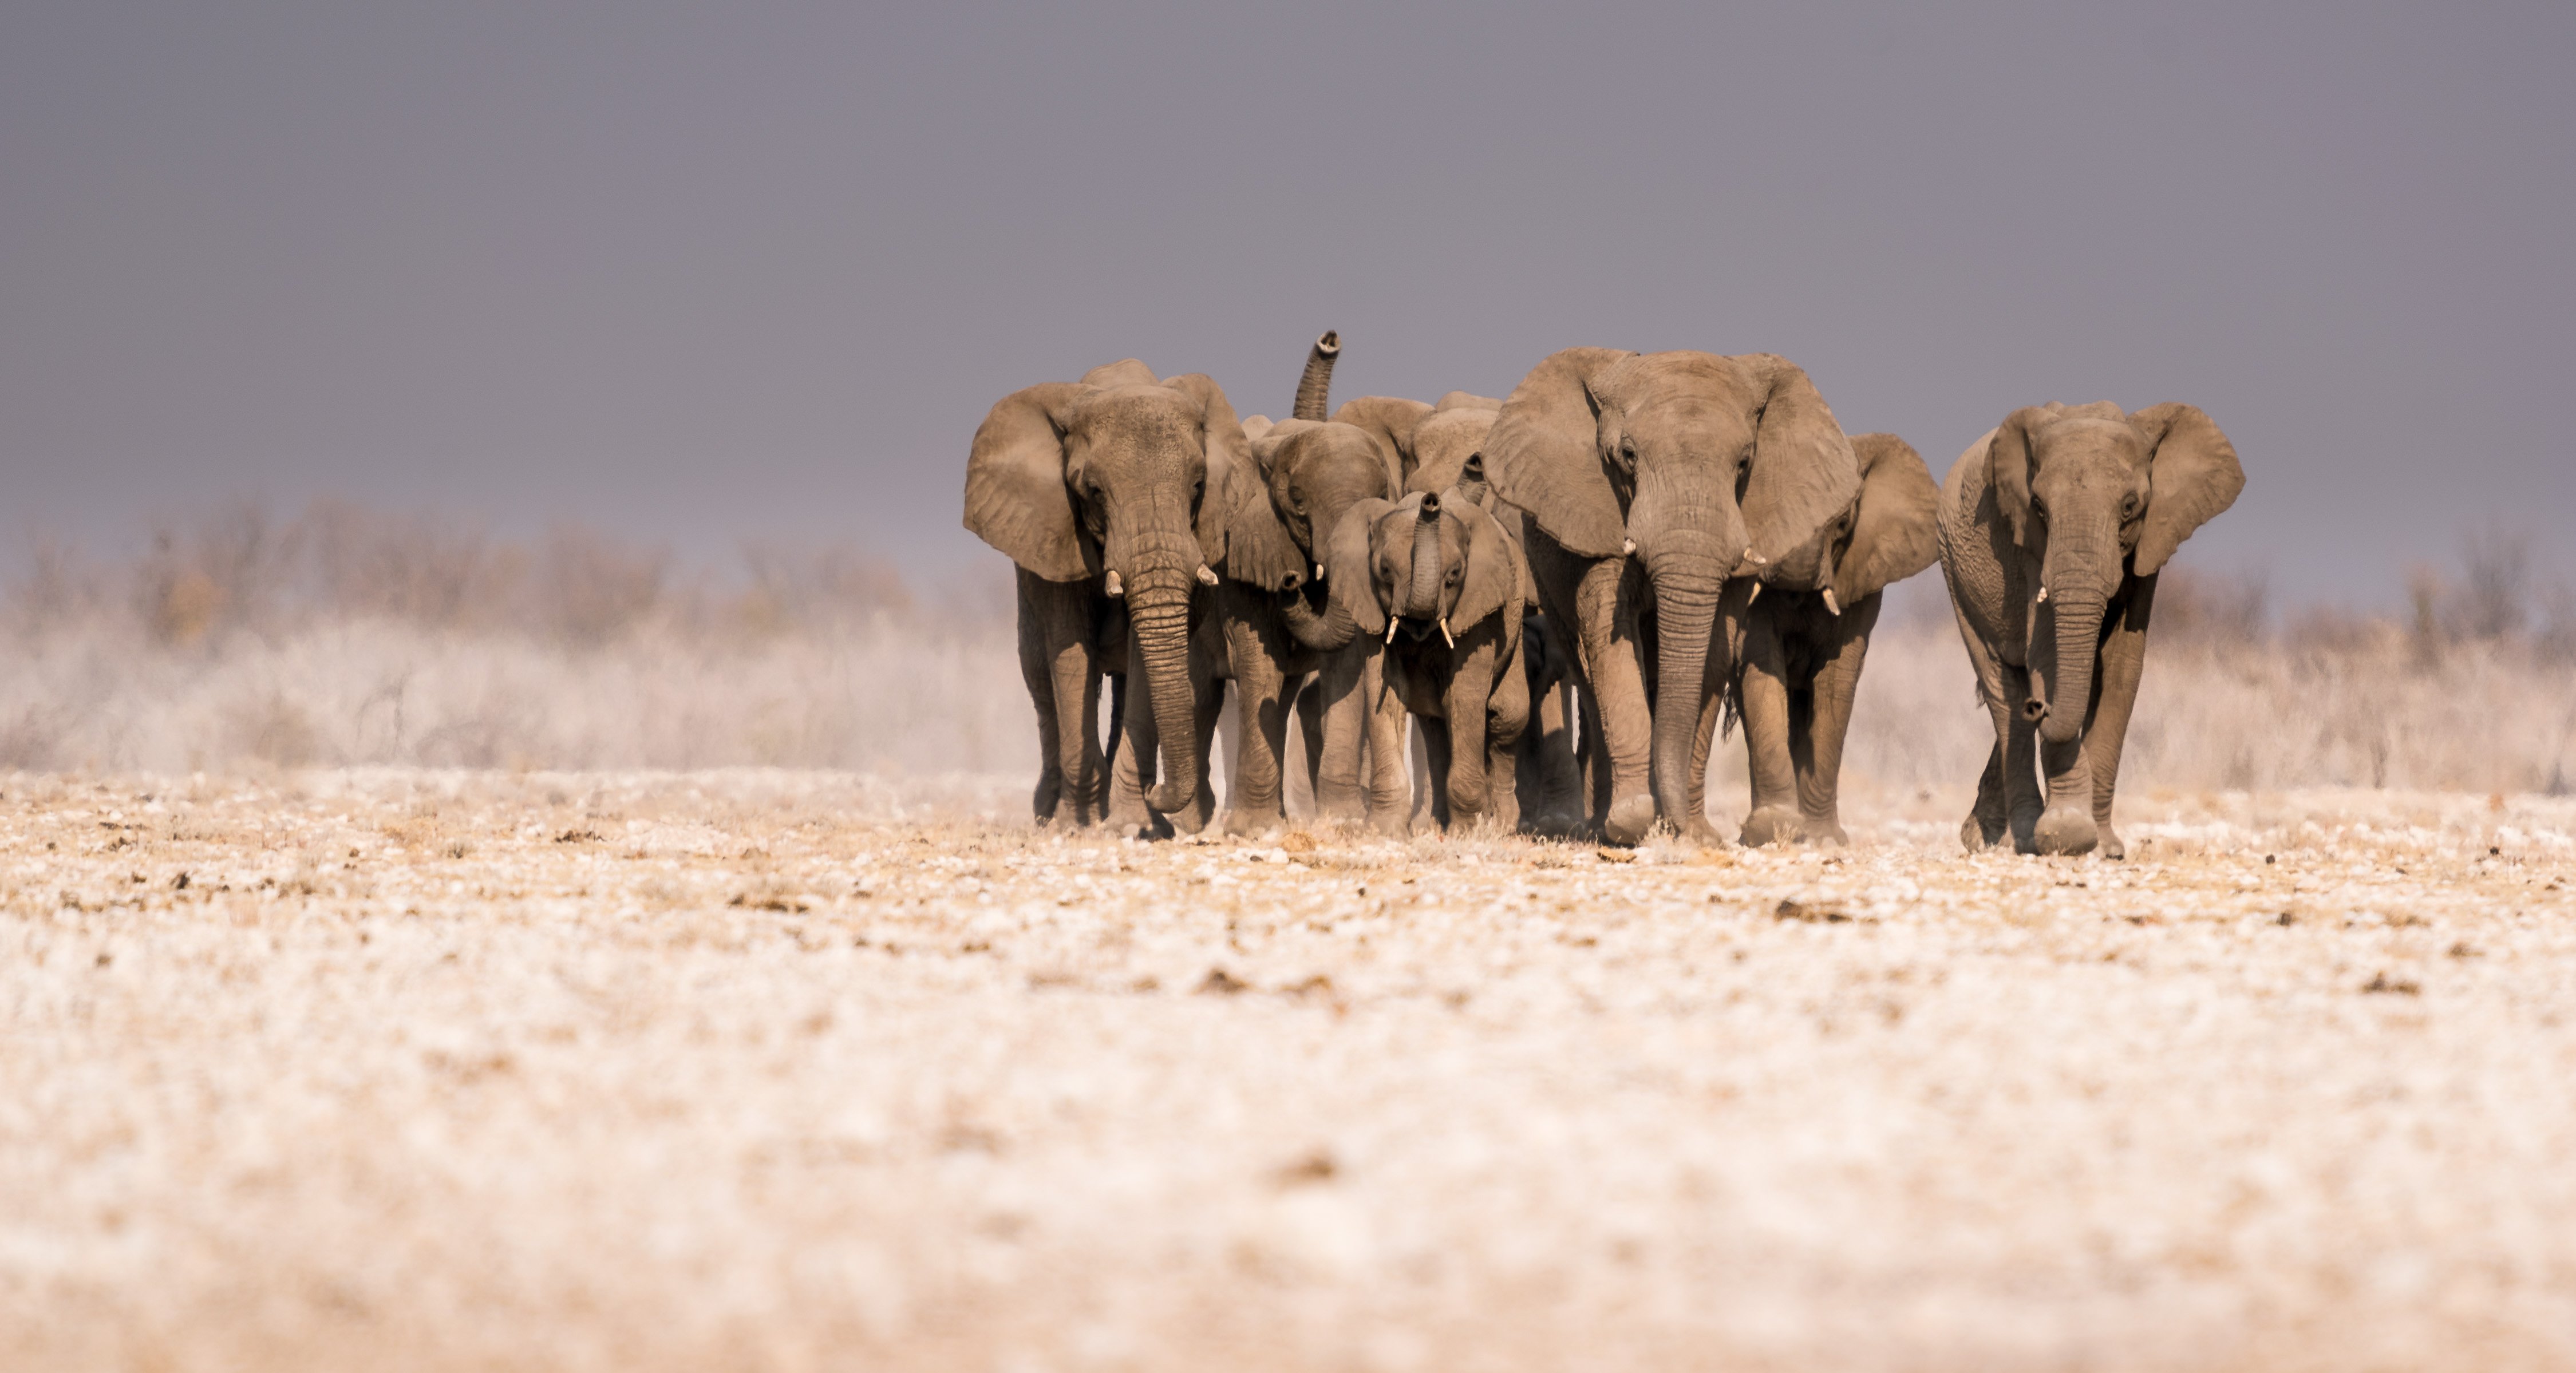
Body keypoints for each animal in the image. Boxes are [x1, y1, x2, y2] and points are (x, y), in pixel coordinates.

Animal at [964, 359, 1263, 832]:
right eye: (1094, 491)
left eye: (1198, 485)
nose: (1158, 789)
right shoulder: (1057, 531)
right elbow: (1070, 652)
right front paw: (1075, 823)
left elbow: (1143, 659)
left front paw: (1134, 825)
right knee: (1040, 679)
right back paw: (1047, 813)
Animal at [1326, 486, 1531, 831]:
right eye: (1384, 571)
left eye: (1455, 575)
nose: (1431, 501)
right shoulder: (1370, 608)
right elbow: (1385, 691)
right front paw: (1385, 830)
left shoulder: (1479, 613)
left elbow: (1465, 696)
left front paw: (1468, 833)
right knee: (1437, 727)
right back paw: (1438, 825)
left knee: (1506, 716)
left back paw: (1499, 826)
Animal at [1484, 349, 1863, 845]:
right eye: (1627, 457)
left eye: (1744, 462)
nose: (1679, 825)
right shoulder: (1599, 520)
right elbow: (1612, 644)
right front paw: (1631, 823)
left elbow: (1716, 652)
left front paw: (1696, 835)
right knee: (1586, 672)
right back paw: (1604, 826)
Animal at [1732, 432, 1941, 847]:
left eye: (1843, 524)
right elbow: (1761, 666)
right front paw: (1771, 830)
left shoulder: (1863, 577)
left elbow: (1835, 682)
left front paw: (1821, 838)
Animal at [1936, 402, 2244, 857]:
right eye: (2039, 508)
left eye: (2130, 507)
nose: (2038, 706)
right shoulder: (2031, 546)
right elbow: (2045, 655)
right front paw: (2067, 834)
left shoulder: (2150, 543)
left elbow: (2122, 665)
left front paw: (2103, 847)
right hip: (1954, 570)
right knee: (2000, 686)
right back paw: (2019, 838)